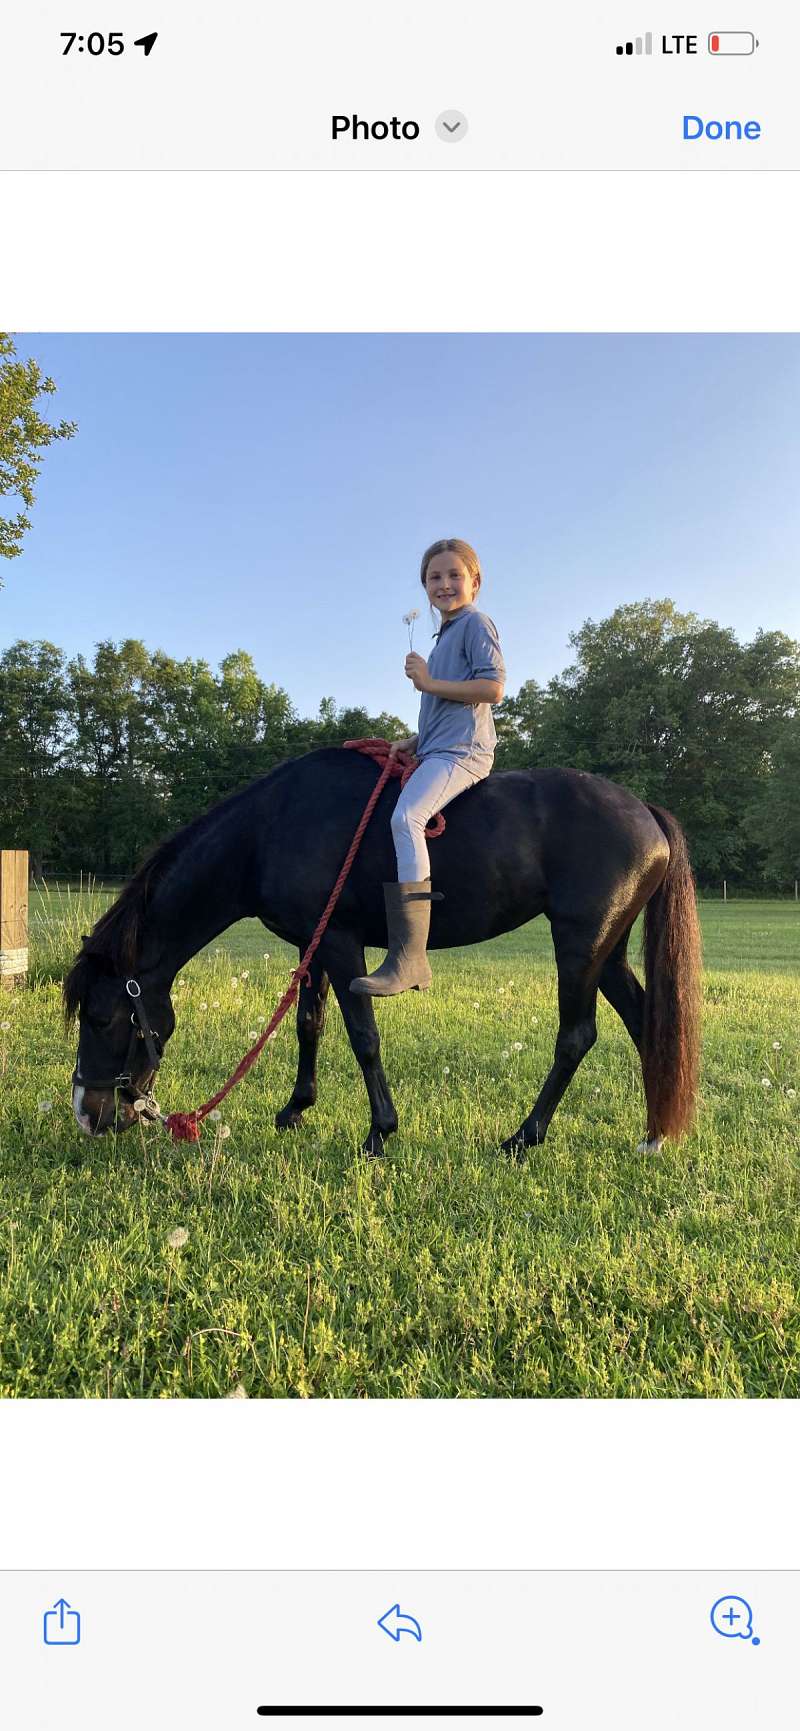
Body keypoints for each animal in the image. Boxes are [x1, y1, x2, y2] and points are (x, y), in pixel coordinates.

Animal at [64, 746, 702, 1158]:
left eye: (101, 1017)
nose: (88, 1115)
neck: (269, 831)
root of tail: (646, 813)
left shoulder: (341, 943)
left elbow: (362, 1035)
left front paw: (379, 1132)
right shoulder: (314, 943)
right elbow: (310, 1024)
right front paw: (296, 1109)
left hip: (579, 945)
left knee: (576, 1037)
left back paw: (524, 1136)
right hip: (608, 953)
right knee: (646, 1025)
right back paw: (654, 1134)